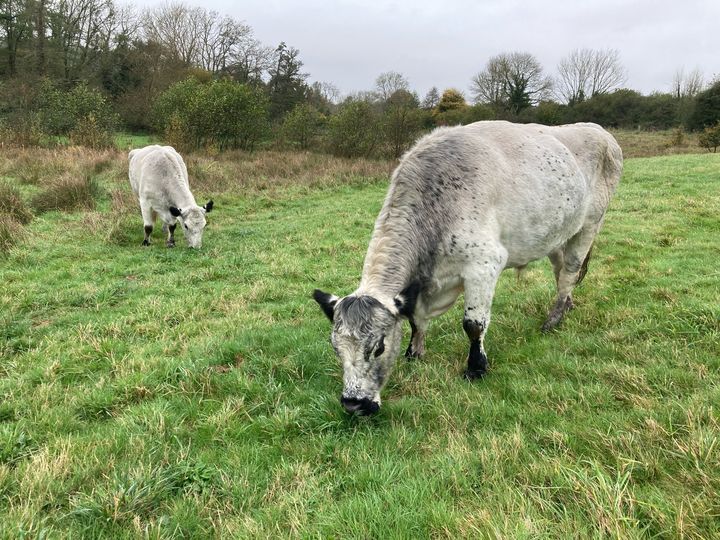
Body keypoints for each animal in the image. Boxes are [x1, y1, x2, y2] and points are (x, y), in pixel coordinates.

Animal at [313, 121, 623, 415]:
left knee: (570, 271)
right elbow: (416, 320)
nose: (353, 404)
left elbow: (474, 325)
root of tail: (598, 130)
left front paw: (476, 368)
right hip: (559, 234)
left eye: (378, 348)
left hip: (590, 224)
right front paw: (415, 353)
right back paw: (567, 305)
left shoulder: (484, 266)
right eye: (336, 348)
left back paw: (554, 318)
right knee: (560, 271)